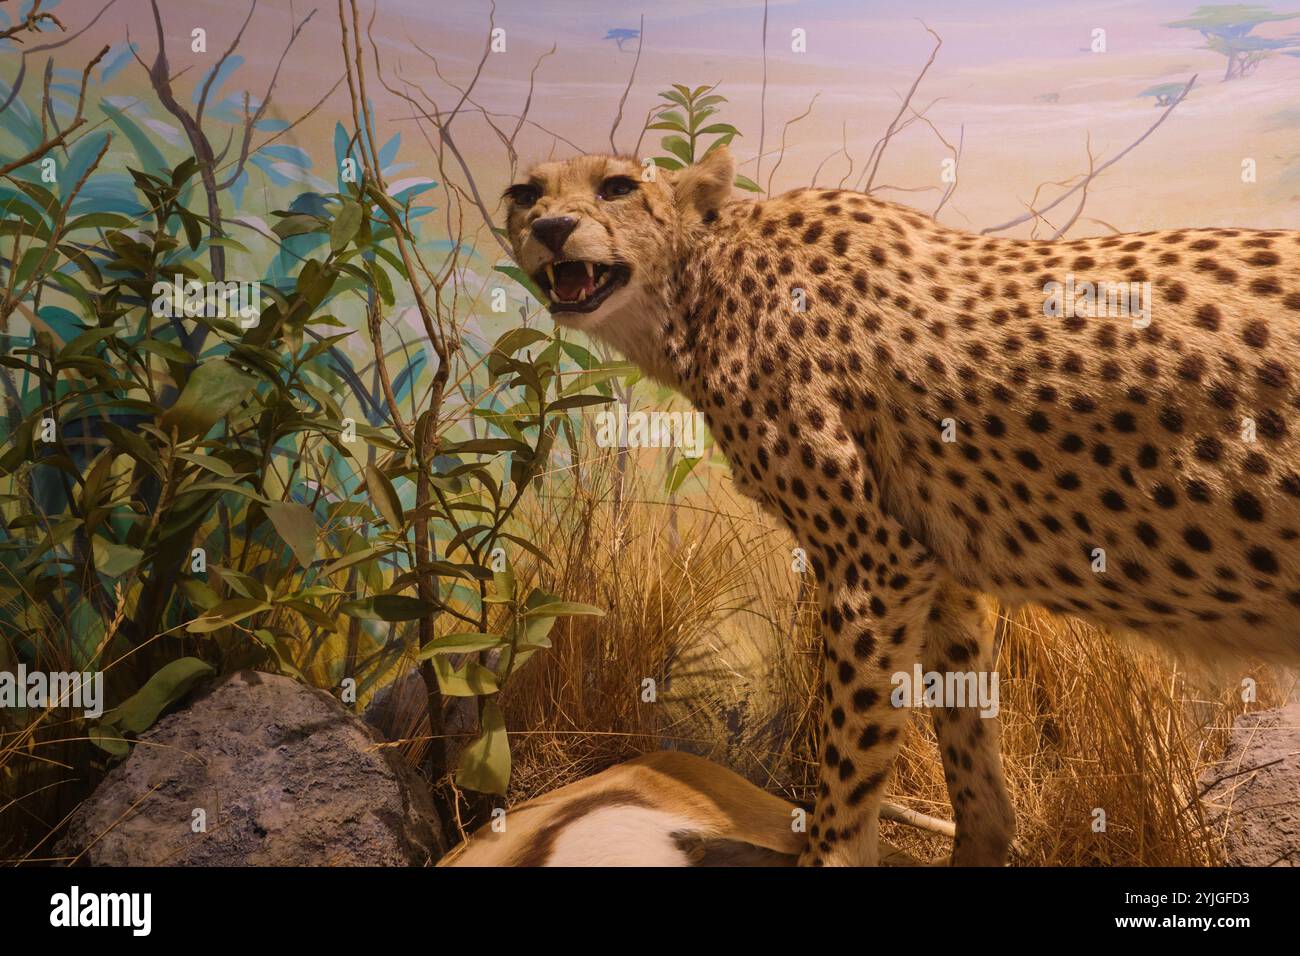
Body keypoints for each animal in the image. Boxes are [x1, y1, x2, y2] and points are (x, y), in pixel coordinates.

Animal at [501, 145, 1300, 866]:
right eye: (524, 192)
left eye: (617, 186)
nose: (551, 227)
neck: (699, 287)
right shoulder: (936, 565)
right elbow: (968, 748)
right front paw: (980, 844)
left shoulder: (872, 563)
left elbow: (848, 762)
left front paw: (831, 851)